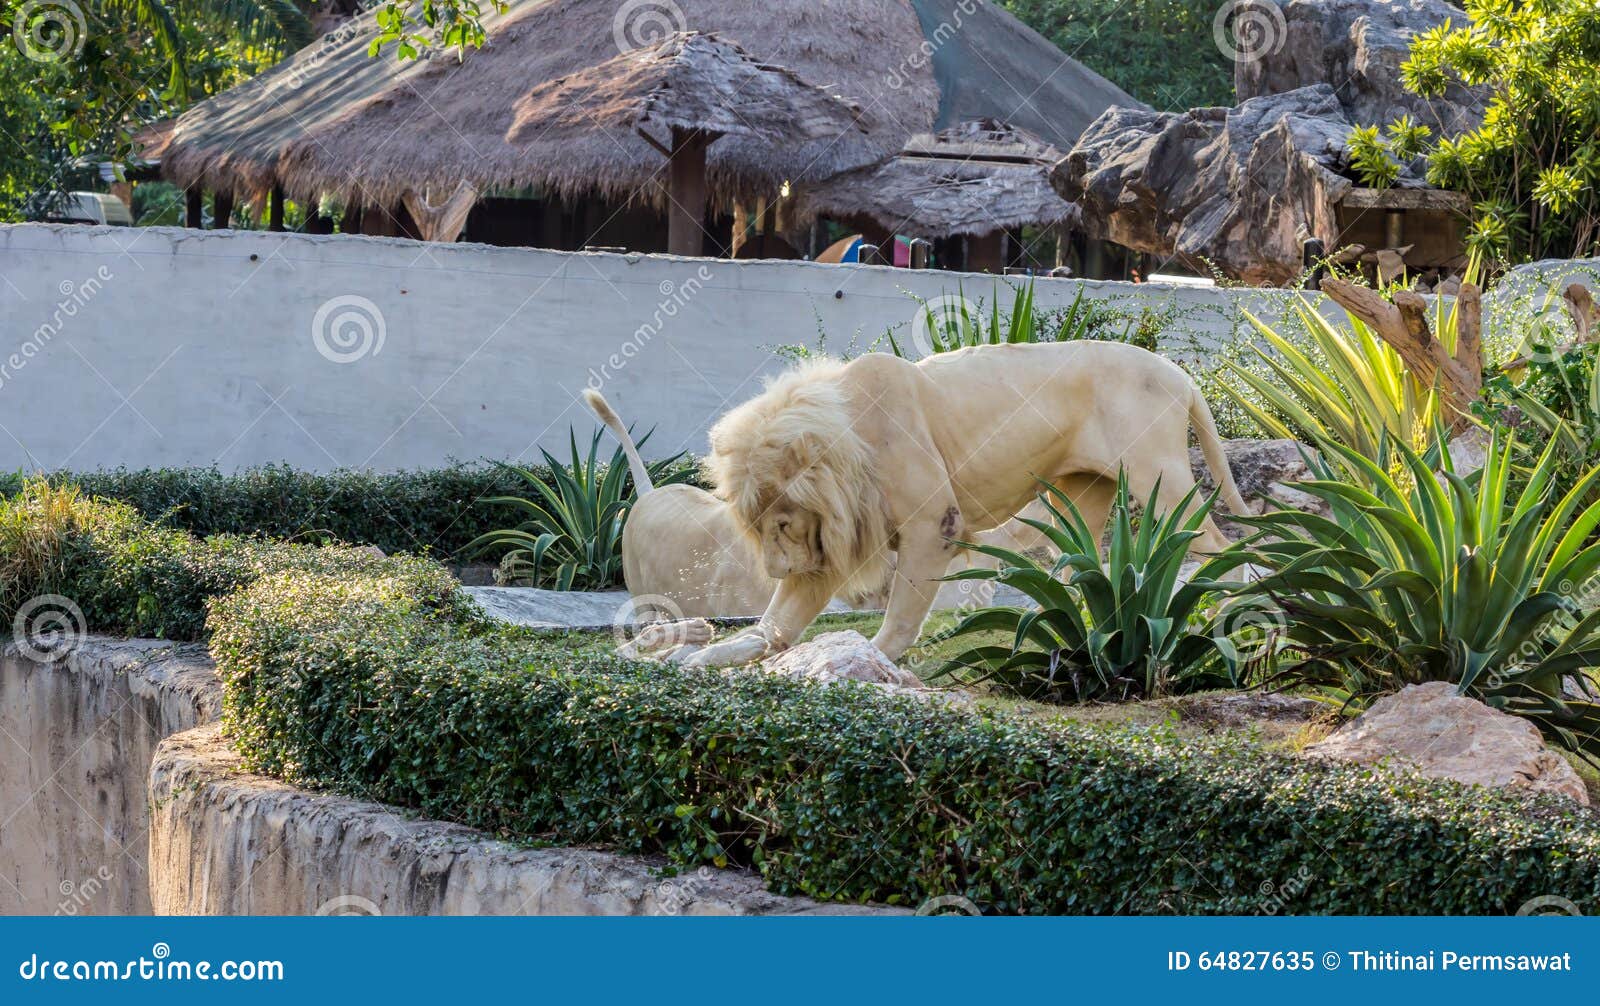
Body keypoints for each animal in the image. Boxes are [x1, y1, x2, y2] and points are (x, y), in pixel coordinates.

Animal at [678, 341, 1251, 669]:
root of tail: (1181, 375)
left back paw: (1225, 613)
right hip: (1079, 495)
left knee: (1220, 541)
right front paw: (710, 655)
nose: (775, 570)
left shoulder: (934, 523)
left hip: (1159, 476)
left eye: (782, 523)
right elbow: (776, 622)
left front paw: (869, 657)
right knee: (1080, 557)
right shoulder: (827, 546)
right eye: (758, 528)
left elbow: (902, 614)